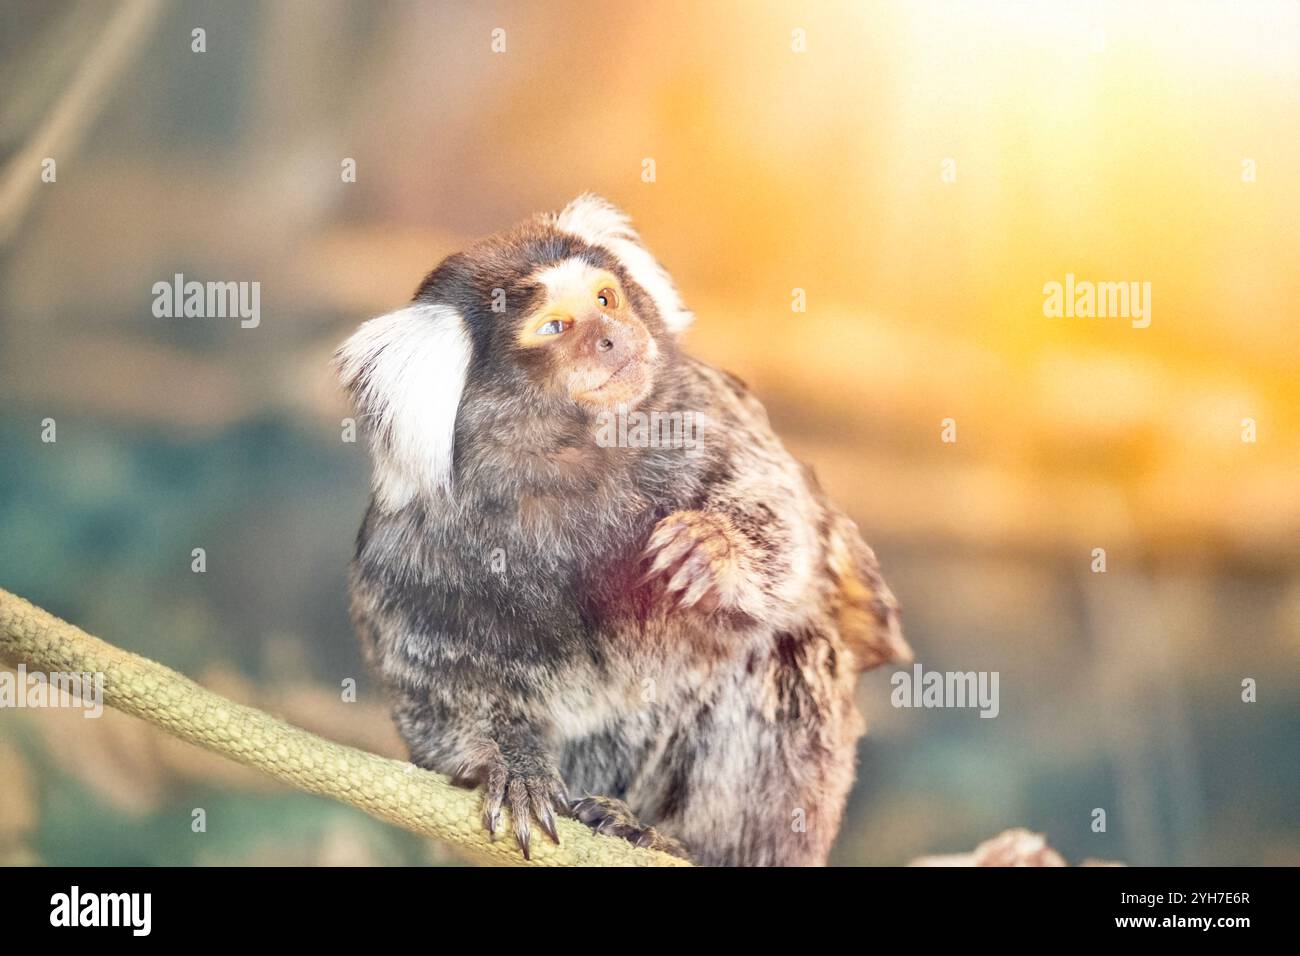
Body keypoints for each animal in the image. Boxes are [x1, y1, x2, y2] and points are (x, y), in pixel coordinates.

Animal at [335, 195, 911, 866]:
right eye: (556, 327)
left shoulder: (713, 417)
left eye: (606, 299)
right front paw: (510, 766)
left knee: (788, 650)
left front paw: (713, 549)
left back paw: (668, 837)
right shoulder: (408, 544)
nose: (613, 337)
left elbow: (791, 529)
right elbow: (433, 682)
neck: (572, 463)